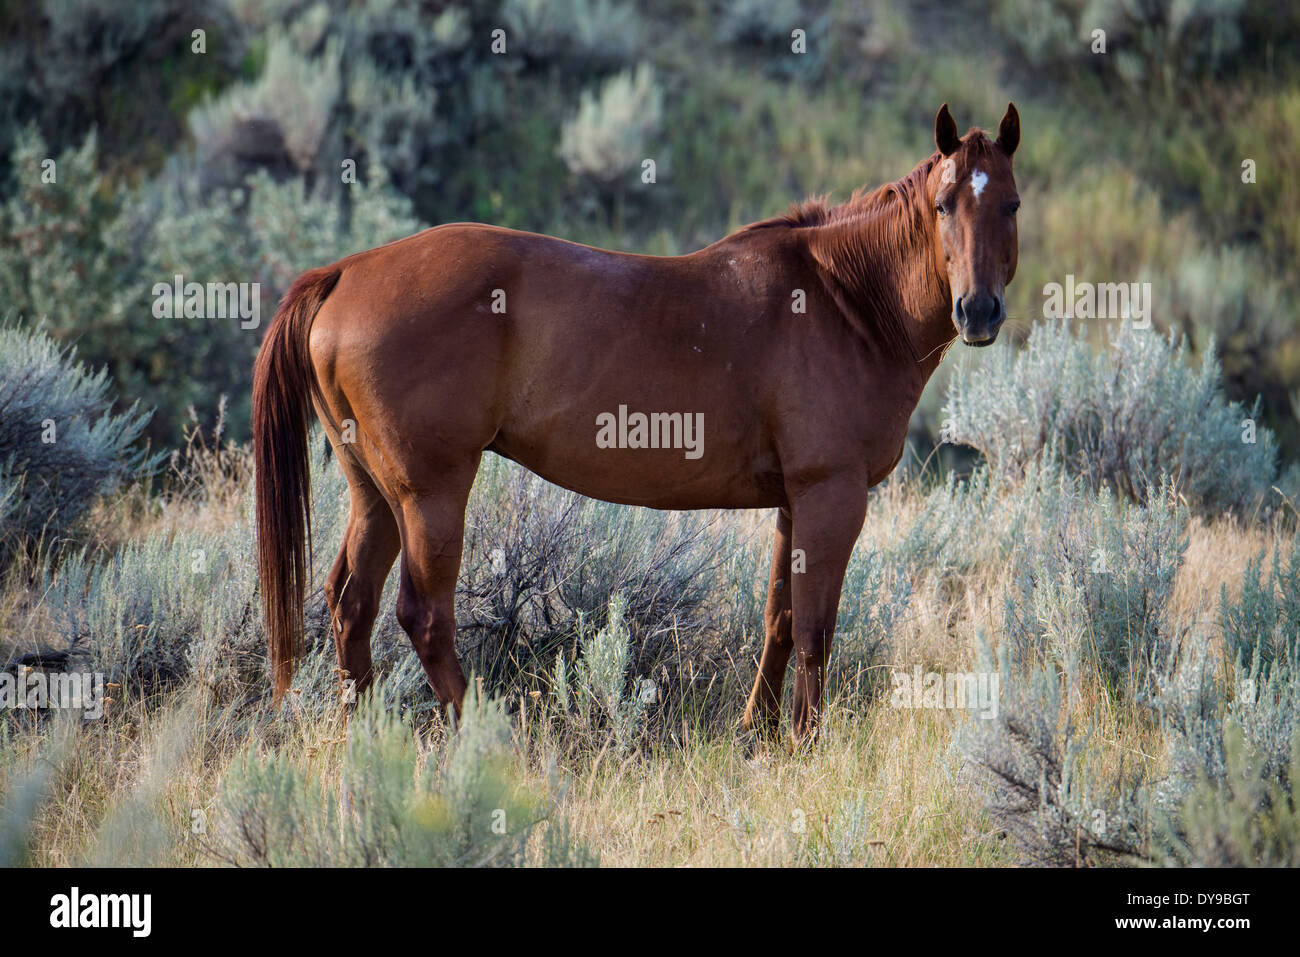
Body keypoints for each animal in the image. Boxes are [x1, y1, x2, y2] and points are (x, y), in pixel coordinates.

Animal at [253, 103, 1021, 745]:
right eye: (944, 204)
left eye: (1010, 204)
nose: (978, 312)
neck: (841, 300)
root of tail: (346, 272)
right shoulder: (832, 495)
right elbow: (814, 629)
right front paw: (806, 743)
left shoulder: (793, 502)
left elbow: (779, 618)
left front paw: (759, 732)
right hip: (430, 493)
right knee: (424, 616)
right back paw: (490, 742)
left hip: (374, 493)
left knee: (350, 604)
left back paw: (366, 739)